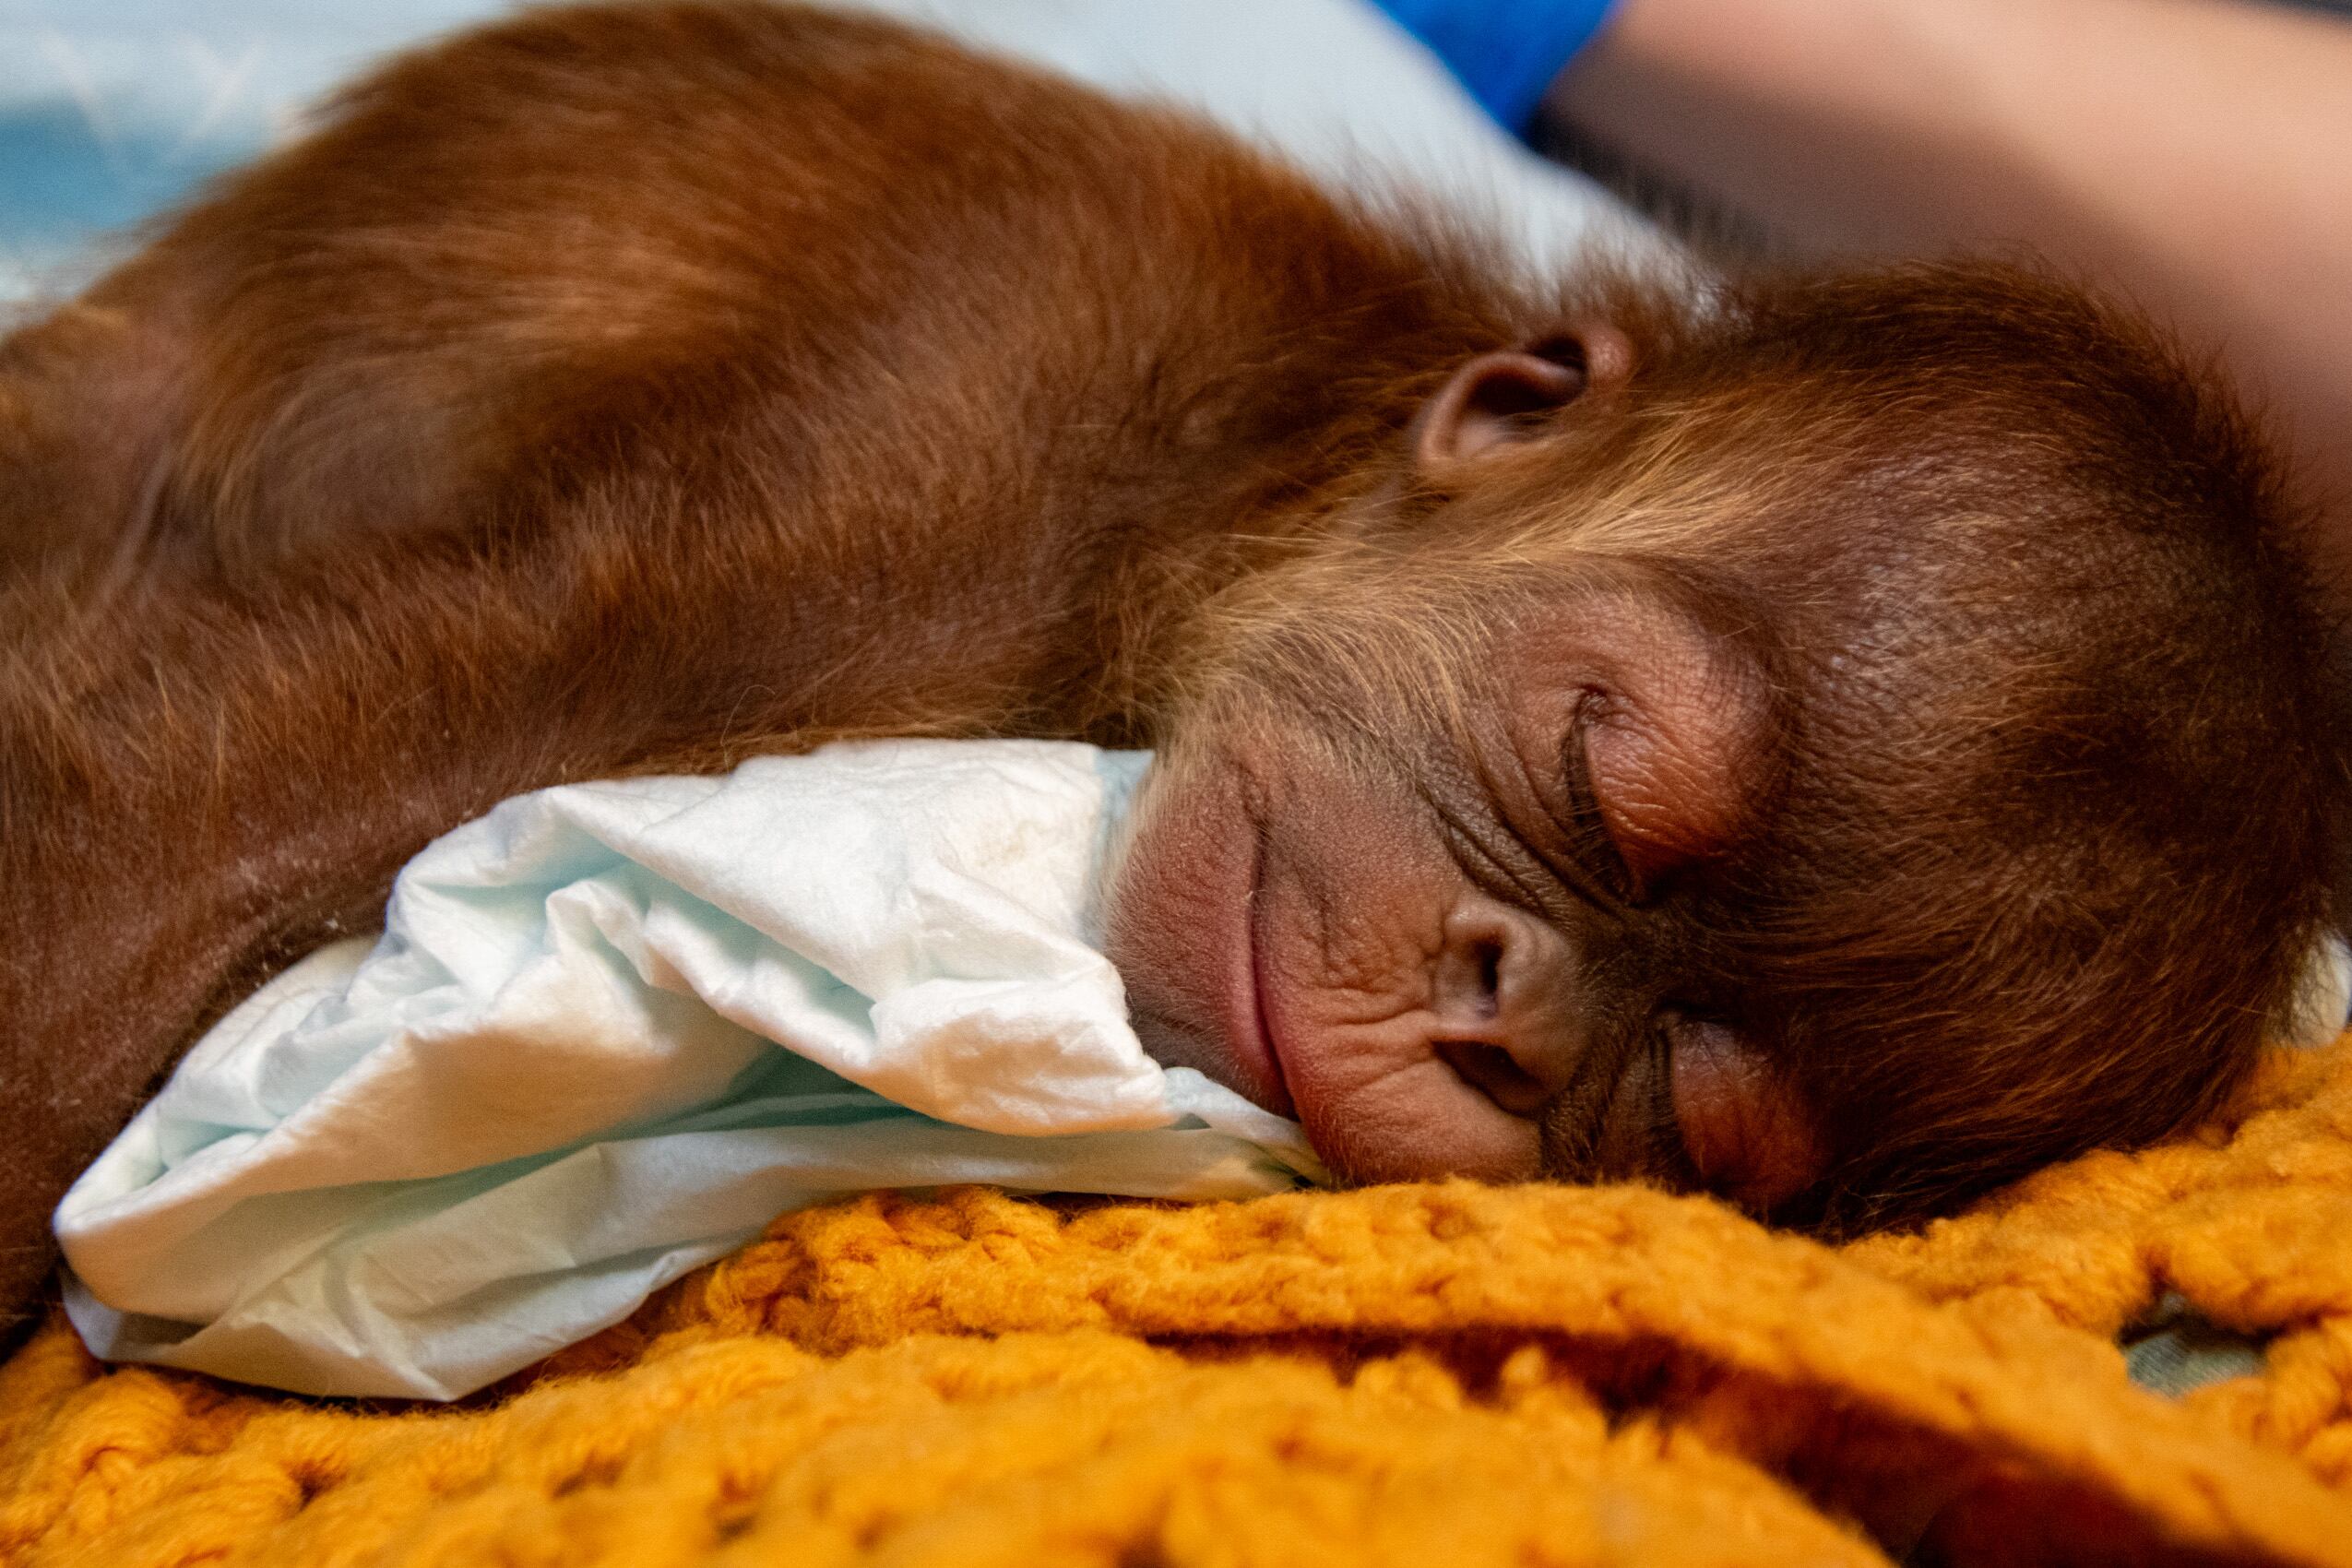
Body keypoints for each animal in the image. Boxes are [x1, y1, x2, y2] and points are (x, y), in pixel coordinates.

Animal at [0, 0, 2342, 1332]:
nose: (1506, 1011)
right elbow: (271, 791)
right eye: (1592, 771)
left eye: (1692, 1116)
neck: (1217, 468)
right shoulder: (925, 452)